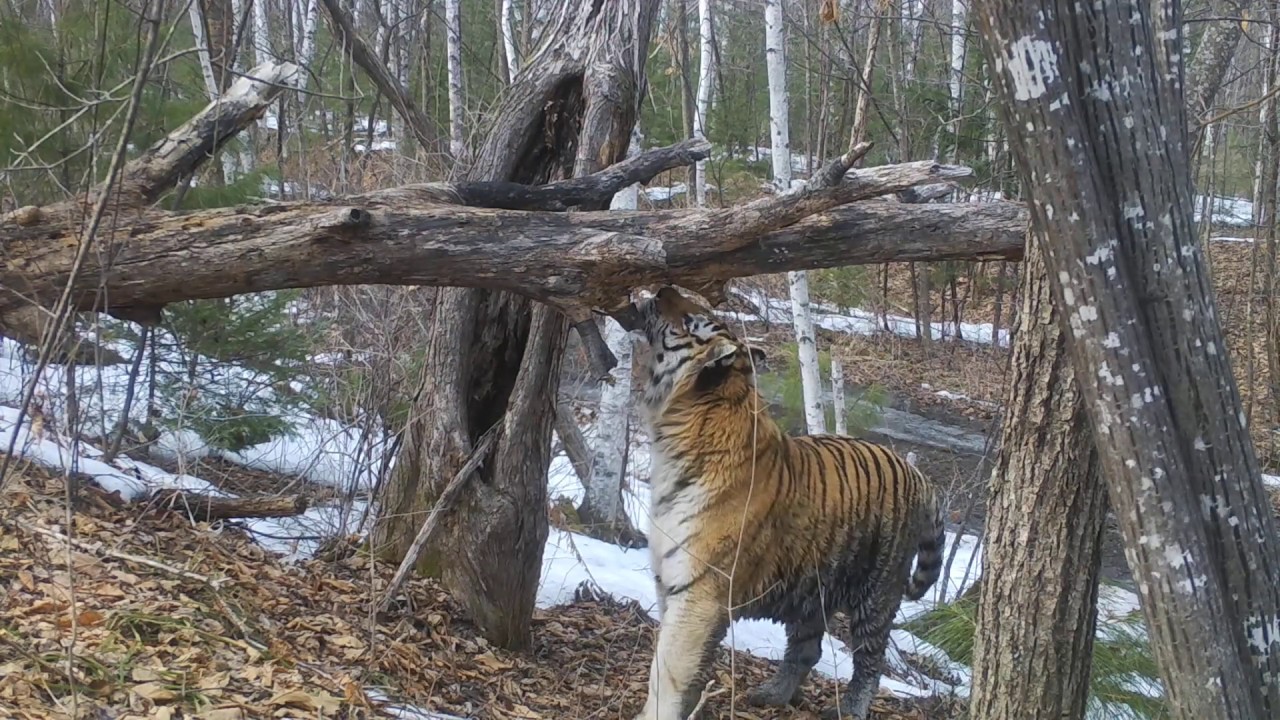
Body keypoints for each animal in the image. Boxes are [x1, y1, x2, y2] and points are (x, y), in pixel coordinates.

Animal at [620, 286, 946, 720]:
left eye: (691, 321)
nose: (662, 289)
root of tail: (918, 475)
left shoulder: (697, 593)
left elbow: (668, 671)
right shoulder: (670, 582)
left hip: (877, 592)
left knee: (870, 660)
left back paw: (849, 709)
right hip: (814, 589)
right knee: (808, 649)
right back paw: (771, 695)